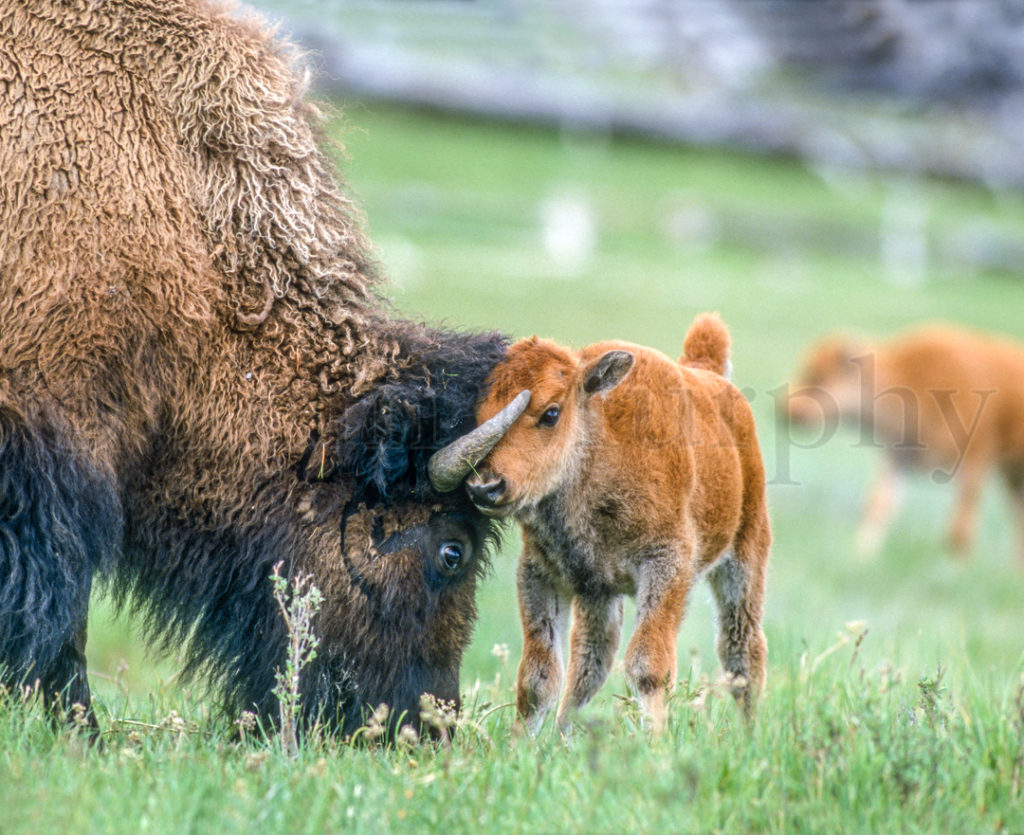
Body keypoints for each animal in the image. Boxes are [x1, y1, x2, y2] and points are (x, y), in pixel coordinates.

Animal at [434, 314, 771, 733]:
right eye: (478, 415)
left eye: (551, 412)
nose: (485, 487)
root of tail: (708, 374)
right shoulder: (544, 574)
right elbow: (538, 676)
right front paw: (521, 743)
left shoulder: (666, 567)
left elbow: (647, 663)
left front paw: (656, 740)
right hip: (600, 595)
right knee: (590, 663)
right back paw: (564, 734)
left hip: (745, 557)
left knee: (741, 649)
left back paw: (750, 732)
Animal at [782, 325, 1024, 560]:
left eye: (818, 379)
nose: (784, 411)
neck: (910, 381)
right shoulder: (898, 459)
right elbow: (879, 504)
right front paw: (861, 556)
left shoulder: (973, 462)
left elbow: (959, 530)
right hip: (1013, 477)